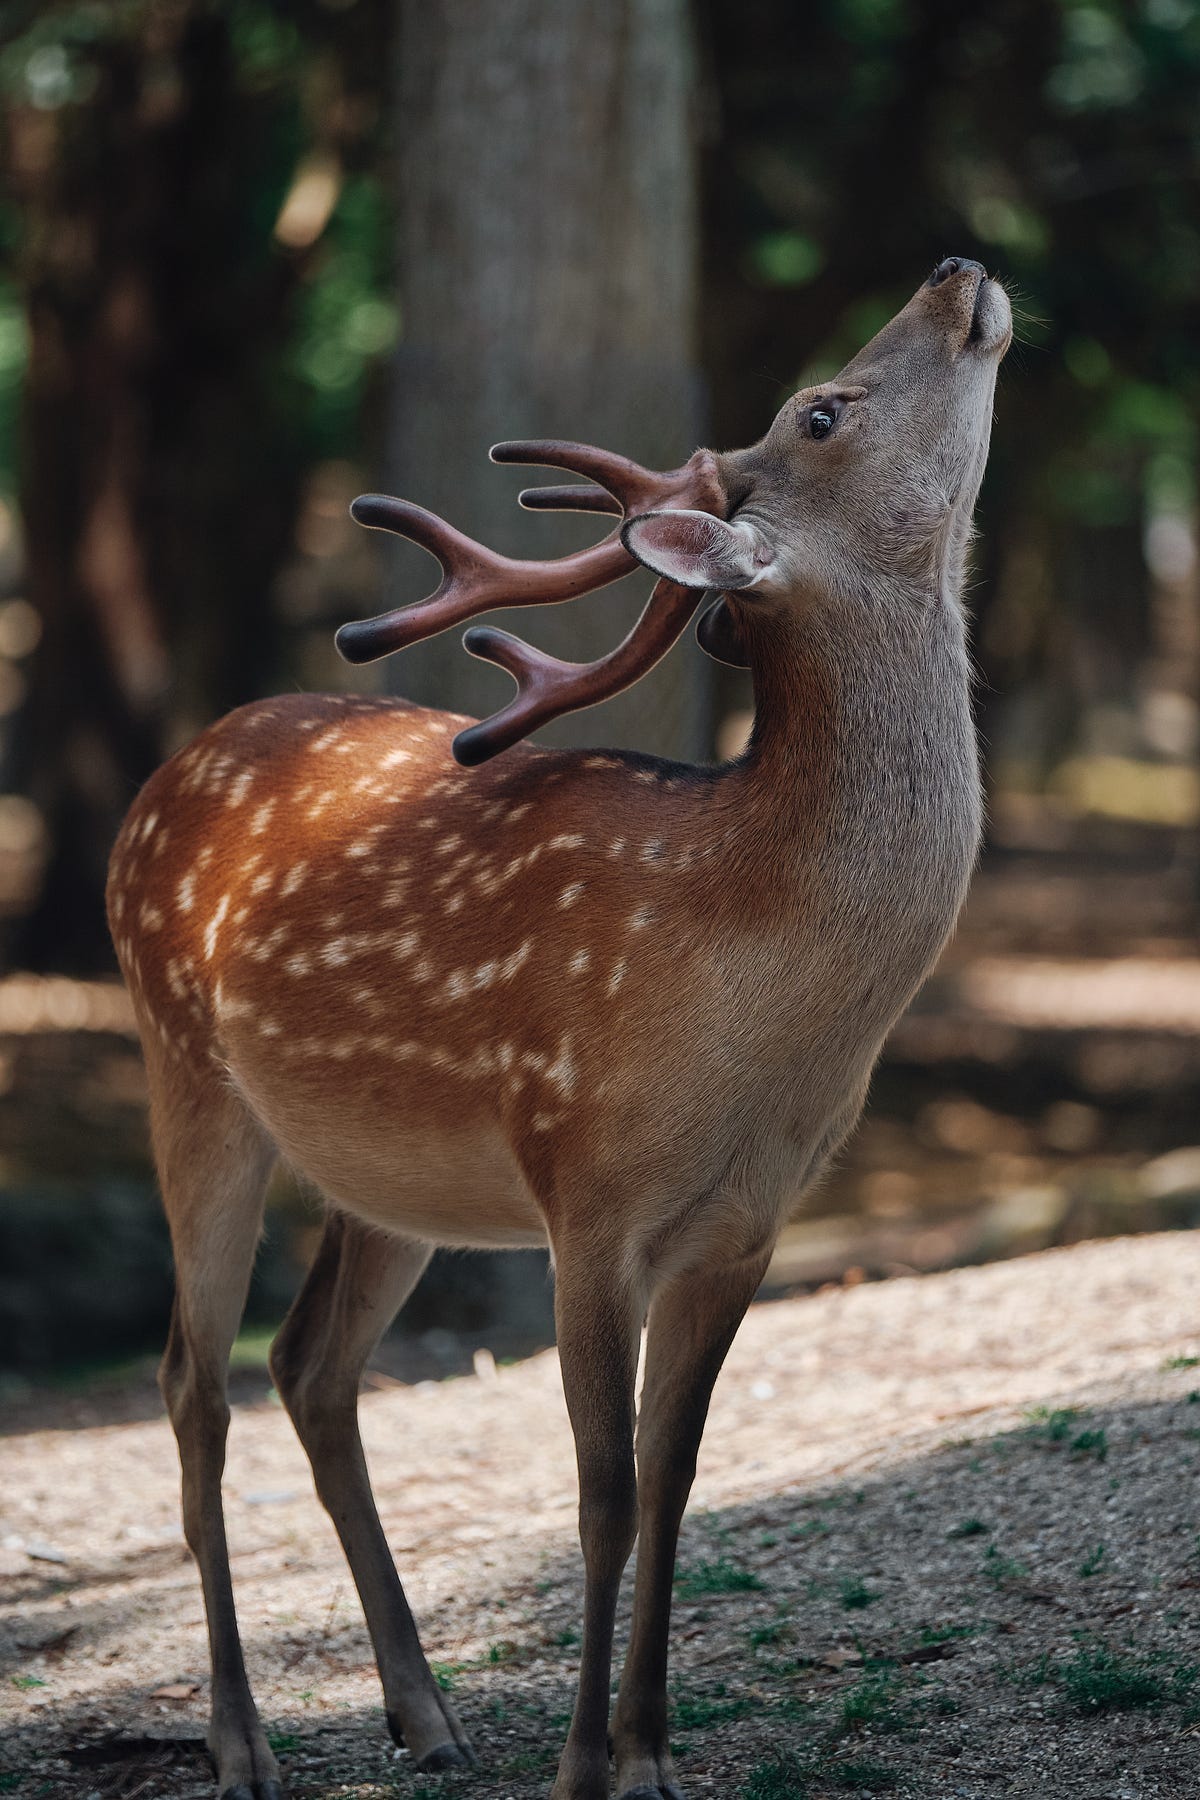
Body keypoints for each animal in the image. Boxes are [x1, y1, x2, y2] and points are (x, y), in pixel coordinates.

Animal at [106, 257, 1011, 1800]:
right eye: (821, 411)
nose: (958, 275)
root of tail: (150, 791)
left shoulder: (743, 1225)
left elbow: (680, 1473)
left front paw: (650, 1748)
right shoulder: (586, 1186)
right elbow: (600, 1488)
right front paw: (591, 1760)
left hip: (391, 1178)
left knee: (309, 1367)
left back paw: (425, 1709)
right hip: (186, 1074)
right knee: (192, 1382)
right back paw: (240, 1737)